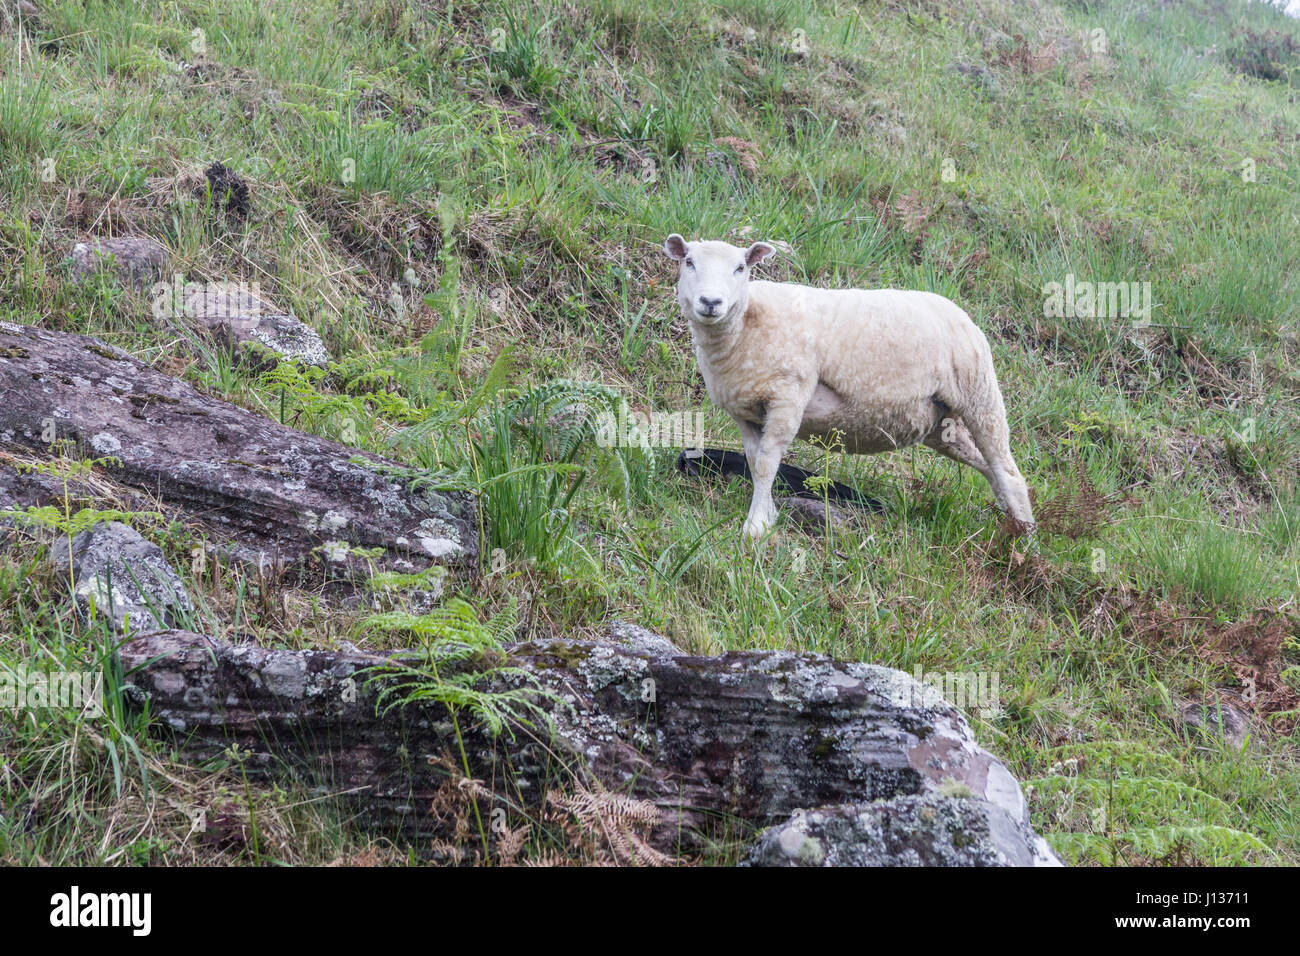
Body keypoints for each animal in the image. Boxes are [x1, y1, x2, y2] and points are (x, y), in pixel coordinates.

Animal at [662, 234, 1035, 539]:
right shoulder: (746, 411)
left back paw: (1025, 542)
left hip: (978, 394)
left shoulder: (788, 396)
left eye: (740, 268)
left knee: (1009, 473)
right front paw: (766, 515)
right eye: (689, 262)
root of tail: (960, 312)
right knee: (989, 469)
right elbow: (755, 463)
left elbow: (768, 463)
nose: (711, 303)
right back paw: (1010, 522)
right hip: (939, 424)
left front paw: (755, 527)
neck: (746, 323)